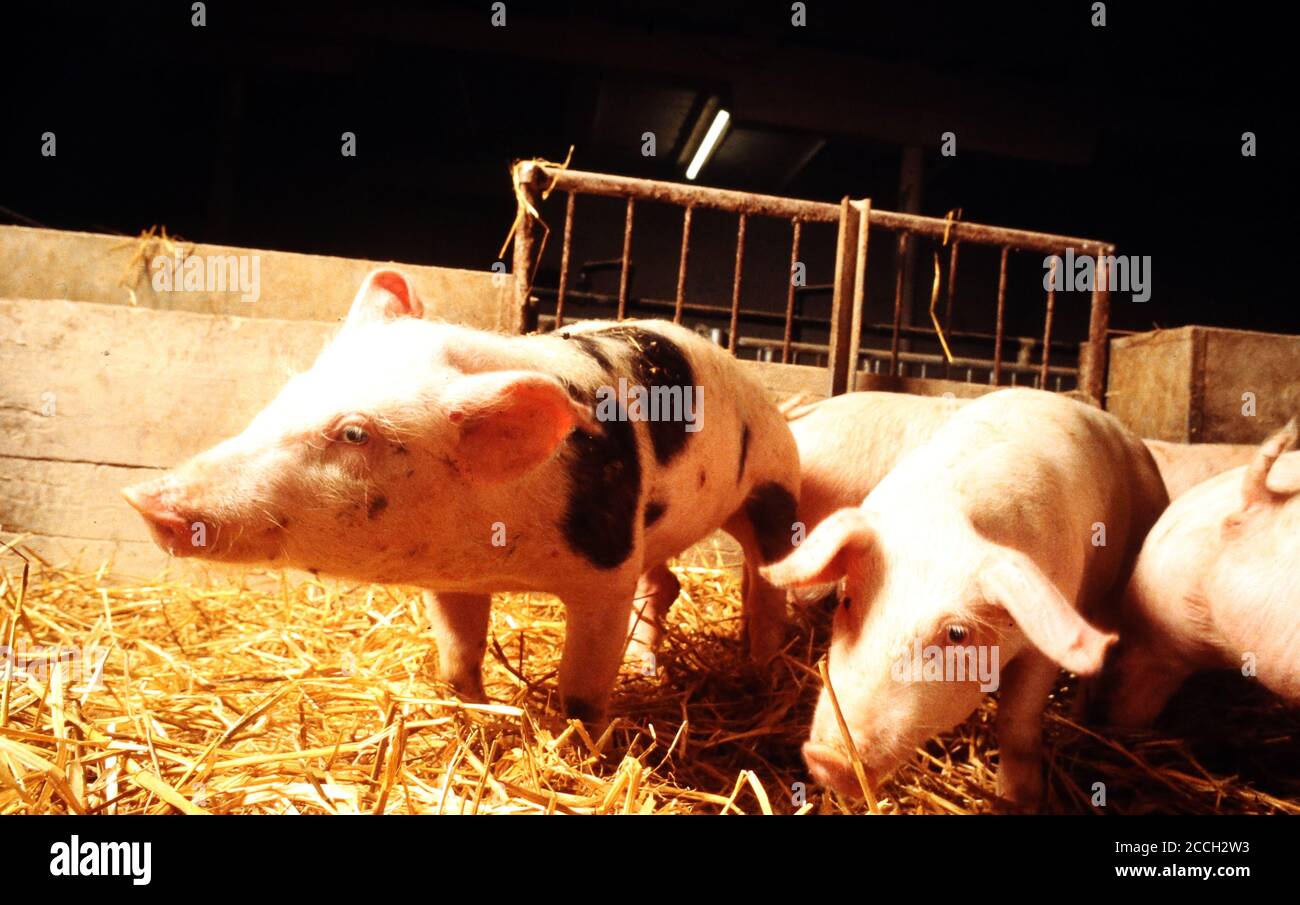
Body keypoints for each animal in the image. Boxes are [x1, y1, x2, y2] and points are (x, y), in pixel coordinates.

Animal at [123, 269, 800, 724]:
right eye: (288, 393)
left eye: (355, 433)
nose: (143, 497)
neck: (499, 552)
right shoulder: (451, 578)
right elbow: (456, 659)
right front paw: (473, 710)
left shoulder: (605, 567)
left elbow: (582, 690)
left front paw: (576, 742)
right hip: (655, 531)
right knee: (665, 583)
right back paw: (650, 670)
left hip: (774, 482)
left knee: (766, 581)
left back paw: (761, 668)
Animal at [761, 387, 1169, 809]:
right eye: (848, 602)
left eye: (957, 634)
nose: (826, 758)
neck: (942, 522)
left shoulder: (1045, 635)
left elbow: (1016, 722)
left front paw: (1018, 802)